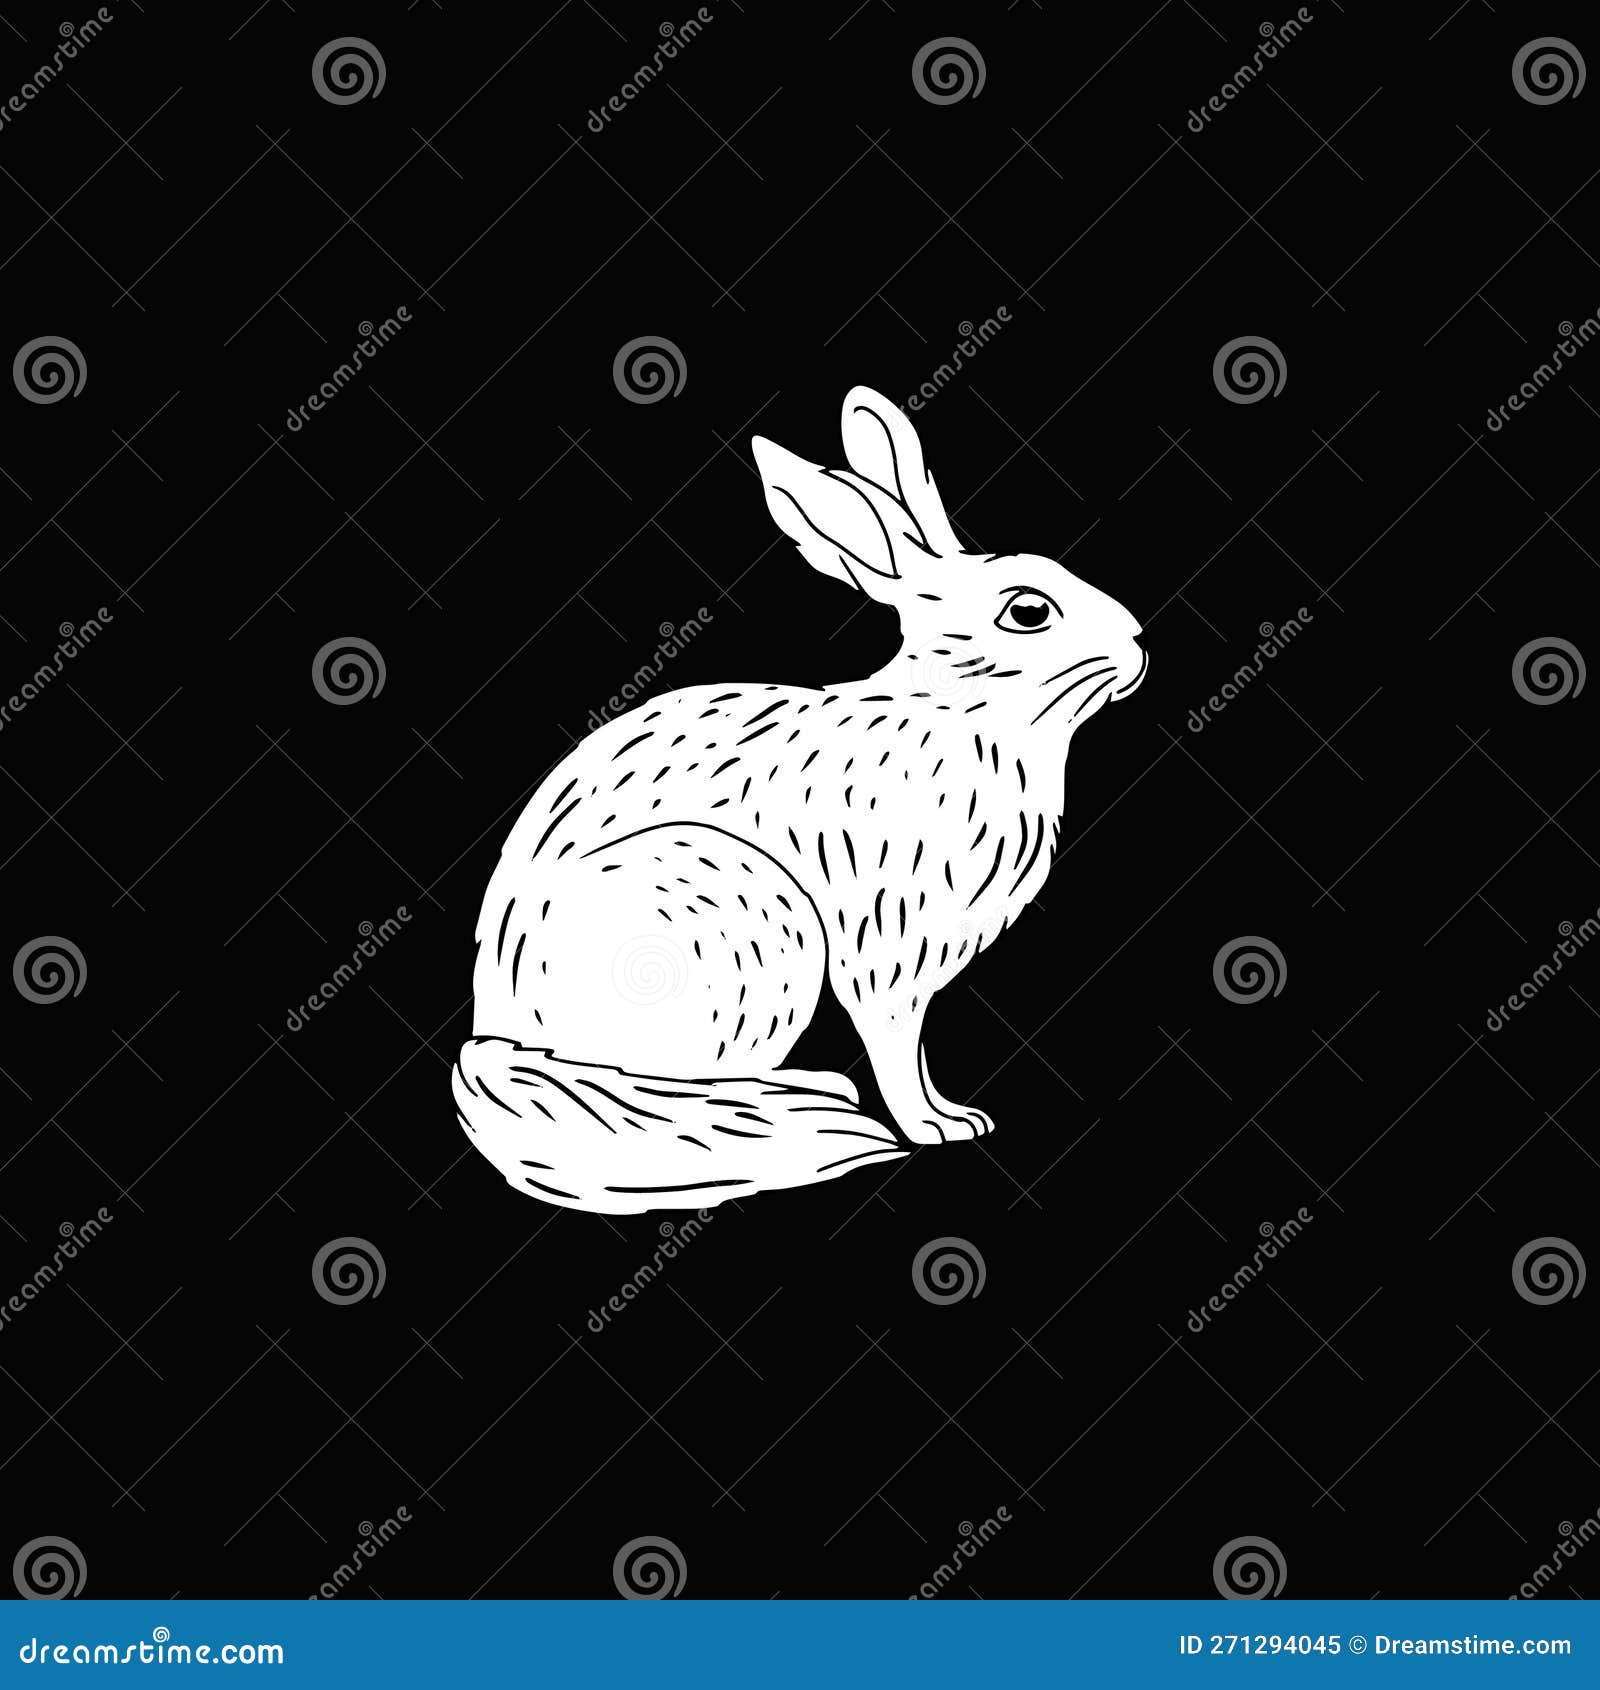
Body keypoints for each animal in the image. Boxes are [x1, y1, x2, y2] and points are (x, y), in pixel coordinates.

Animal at [454, 386, 1147, 1214]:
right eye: (1029, 612)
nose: (1139, 643)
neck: (958, 712)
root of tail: (507, 1040)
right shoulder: (885, 953)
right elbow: (895, 1045)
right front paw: (931, 1131)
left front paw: (955, 1117)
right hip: (742, 925)